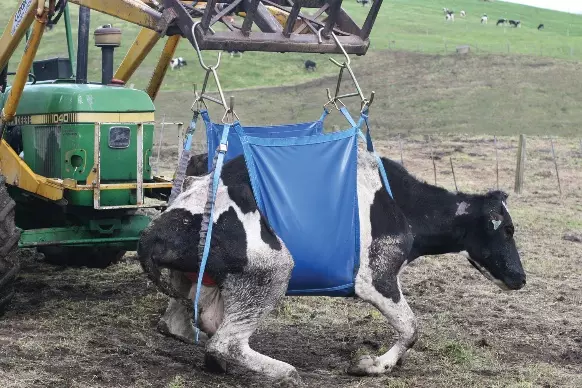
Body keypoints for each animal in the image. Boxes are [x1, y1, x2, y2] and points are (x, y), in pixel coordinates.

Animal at [138, 150, 528, 386]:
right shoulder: (376, 278)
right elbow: (411, 328)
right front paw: (372, 365)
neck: (402, 204)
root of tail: (155, 231)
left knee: (188, 326)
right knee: (225, 342)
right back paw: (286, 372)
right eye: (507, 229)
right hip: (274, 268)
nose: (521, 278)